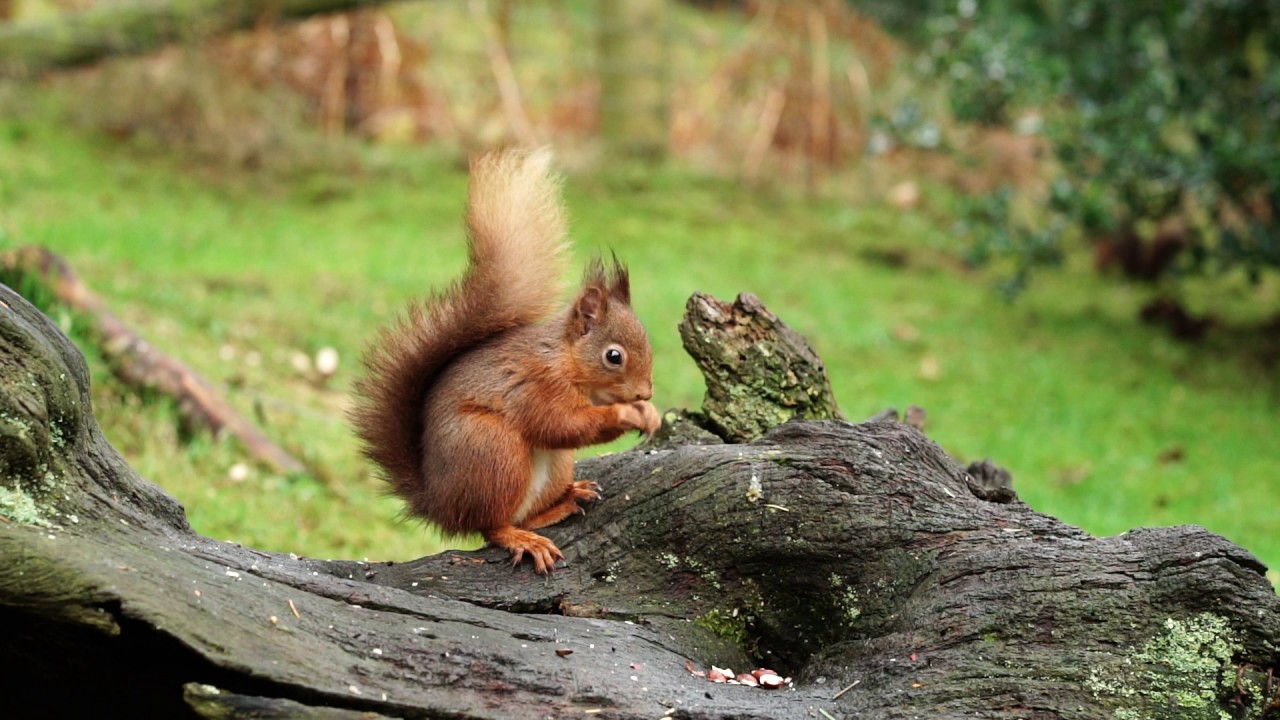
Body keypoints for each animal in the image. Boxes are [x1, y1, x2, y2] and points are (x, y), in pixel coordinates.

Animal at [351, 147, 660, 574]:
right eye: (613, 356)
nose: (645, 392)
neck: (565, 360)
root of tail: (441, 504)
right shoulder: (538, 385)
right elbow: (561, 424)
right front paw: (626, 414)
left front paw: (651, 414)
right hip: (494, 451)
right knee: (492, 525)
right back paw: (522, 538)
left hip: (552, 466)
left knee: (523, 514)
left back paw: (567, 500)